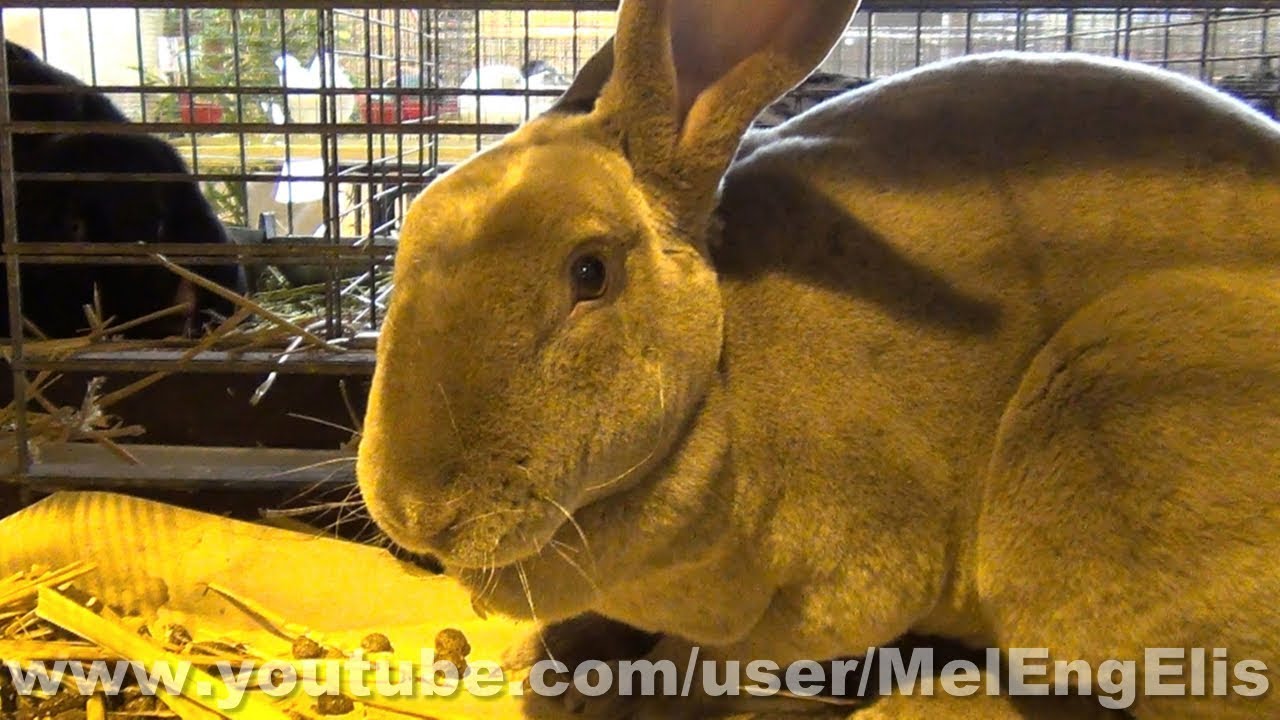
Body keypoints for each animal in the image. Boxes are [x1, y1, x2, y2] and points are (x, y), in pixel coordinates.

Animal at [356, 0, 1280, 718]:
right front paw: (552, 652)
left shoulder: (840, 588)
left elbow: (705, 659)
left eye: (590, 272)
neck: (720, 379)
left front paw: (618, 692)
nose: (414, 514)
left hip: (1097, 421)